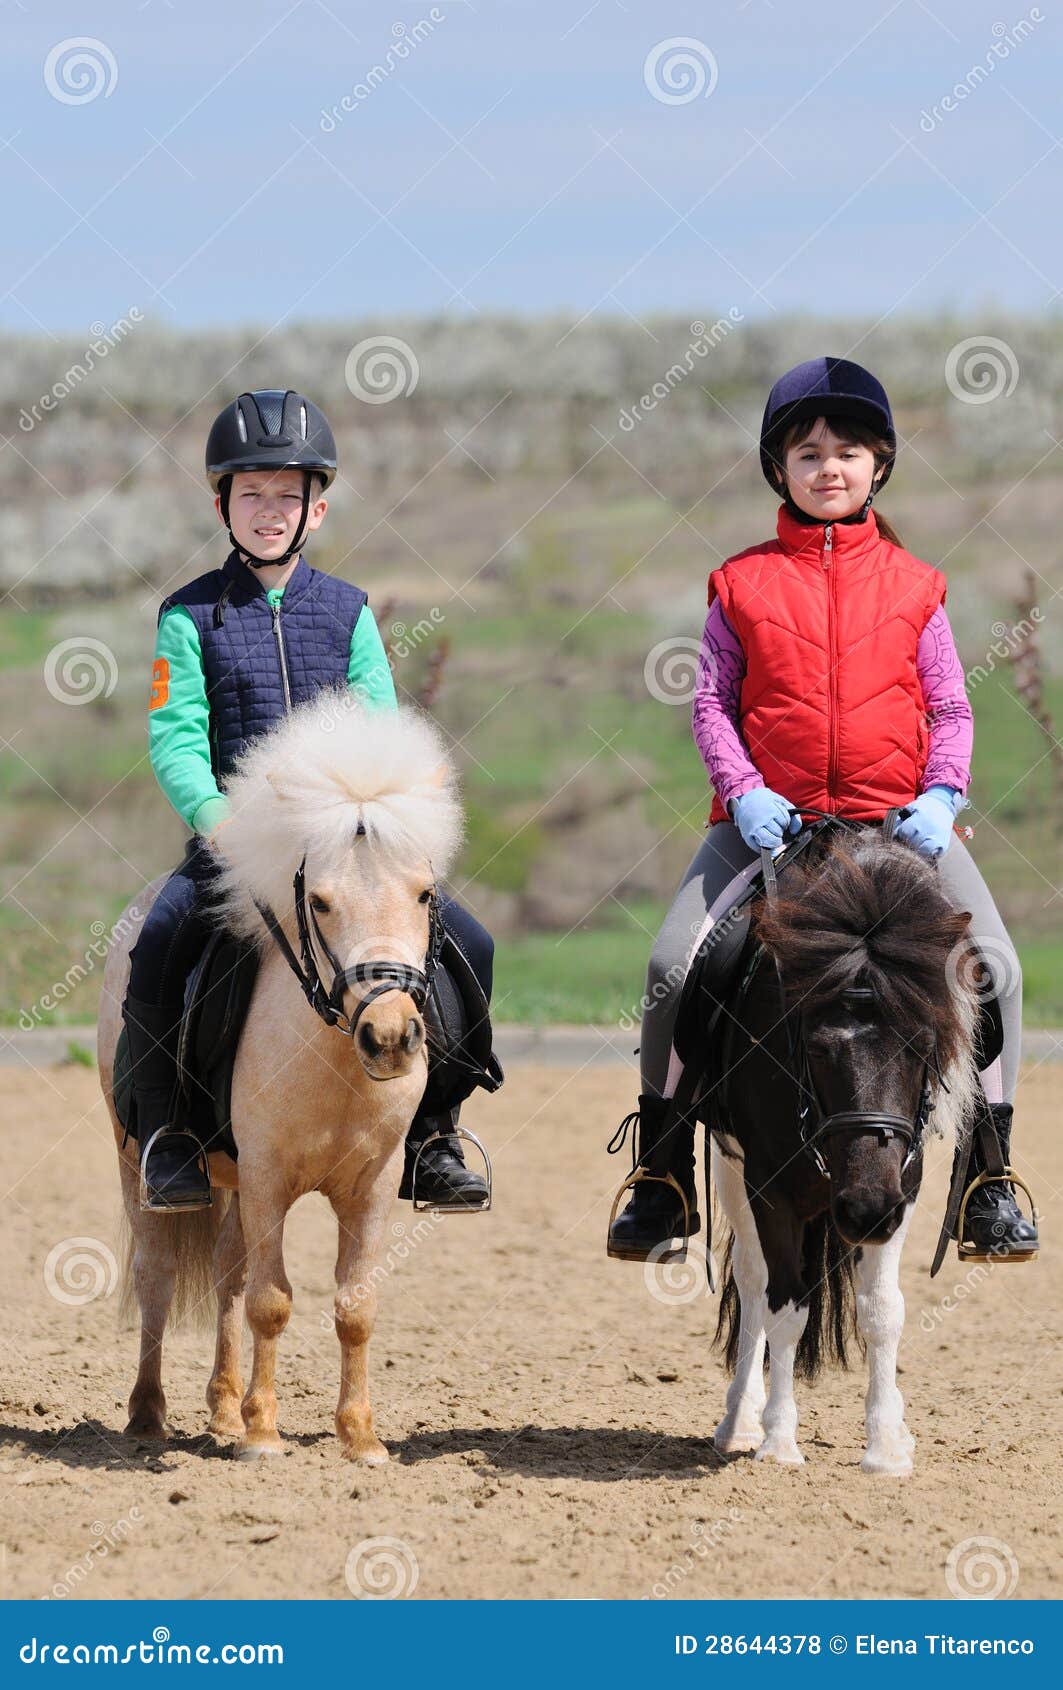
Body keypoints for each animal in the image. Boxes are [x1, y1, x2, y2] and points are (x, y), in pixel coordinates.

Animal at [97, 691, 463, 1462]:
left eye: (422, 894)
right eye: (319, 902)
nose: (390, 1037)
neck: (336, 1063)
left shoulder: (372, 1186)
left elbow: (353, 1306)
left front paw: (360, 1438)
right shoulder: (268, 1175)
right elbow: (273, 1301)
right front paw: (265, 1437)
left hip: (230, 1180)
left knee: (228, 1274)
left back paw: (222, 1412)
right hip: (135, 1159)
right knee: (157, 1275)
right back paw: (148, 1414)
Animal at [705, 821, 982, 1476]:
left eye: (923, 1043)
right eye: (815, 1045)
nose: (864, 1211)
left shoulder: (903, 1187)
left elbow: (882, 1311)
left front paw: (884, 1448)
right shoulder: (768, 1186)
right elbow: (784, 1306)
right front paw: (779, 1441)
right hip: (730, 1170)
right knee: (752, 1281)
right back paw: (739, 1422)